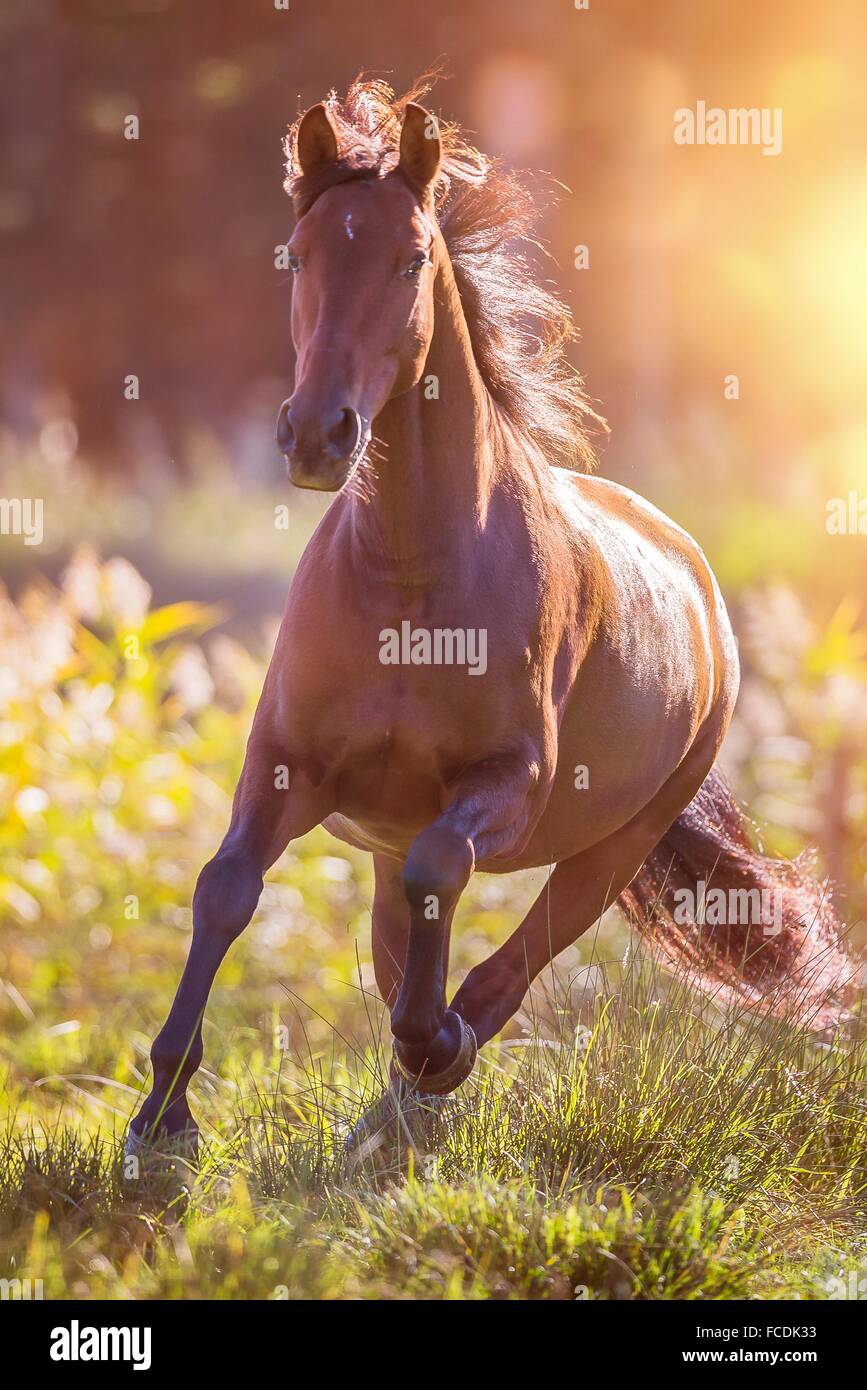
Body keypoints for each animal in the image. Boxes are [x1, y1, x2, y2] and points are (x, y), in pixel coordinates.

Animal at [128, 77, 852, 1155]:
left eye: (412, 257)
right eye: (299, 254)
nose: (317, 436)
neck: (412, 581)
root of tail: (699, 587)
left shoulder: (506, 780)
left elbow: (443, 876)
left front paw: (440, 1042)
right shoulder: (286, 762)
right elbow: (226, 889)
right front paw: (161, 1114)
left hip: (614, 846)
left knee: (513, 957)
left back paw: (435, 1062)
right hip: (391, 841)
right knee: (406, 942)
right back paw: (392, 1110)